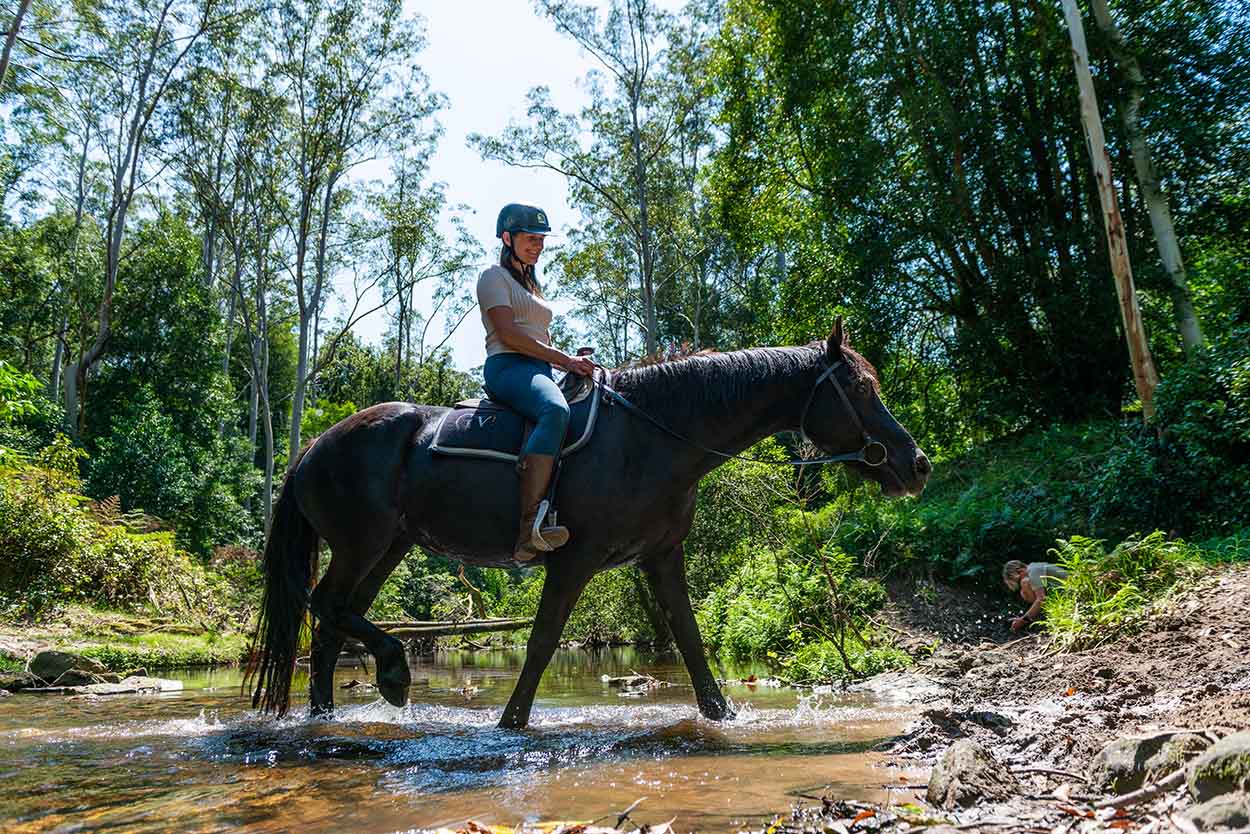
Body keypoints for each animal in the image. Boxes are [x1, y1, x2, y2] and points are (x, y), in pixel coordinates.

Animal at [249, 320, 931, 728]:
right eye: (860, 391)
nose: (916, 463)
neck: (651, 437)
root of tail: (312, 447)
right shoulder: (573, 560)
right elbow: (543, 640)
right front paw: (511, 723)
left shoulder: (662, 556)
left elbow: (690, 639)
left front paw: (722, 717)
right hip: (361, 544)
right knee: (326, 607)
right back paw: (391, 670)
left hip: (387, 547)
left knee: (331, 624)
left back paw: (328, 715)